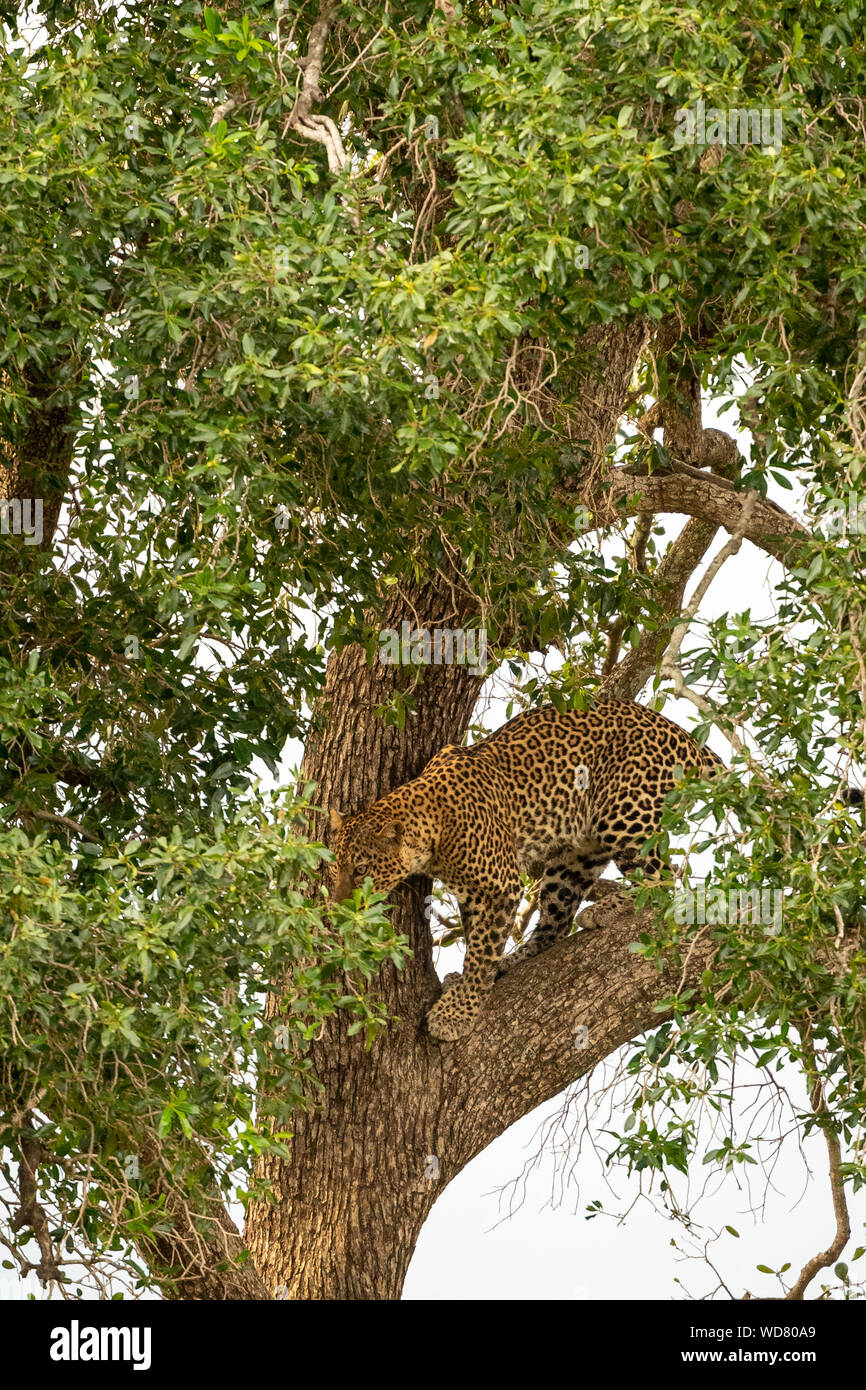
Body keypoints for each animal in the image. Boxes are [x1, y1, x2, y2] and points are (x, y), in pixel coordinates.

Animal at [328, 700, 723, 1043]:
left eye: (361, 869)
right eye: (335, 869)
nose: (337, 909)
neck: (431, 824)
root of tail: (689, 738)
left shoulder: (499, 885)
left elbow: (481, 952)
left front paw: (457, 1014)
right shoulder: (472, 893)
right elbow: (478, 940)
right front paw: (473, 982)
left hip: (625, 815)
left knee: (665, 878)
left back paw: (608, 909)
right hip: (575, 856)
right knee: (556, 924)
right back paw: (514, 959)